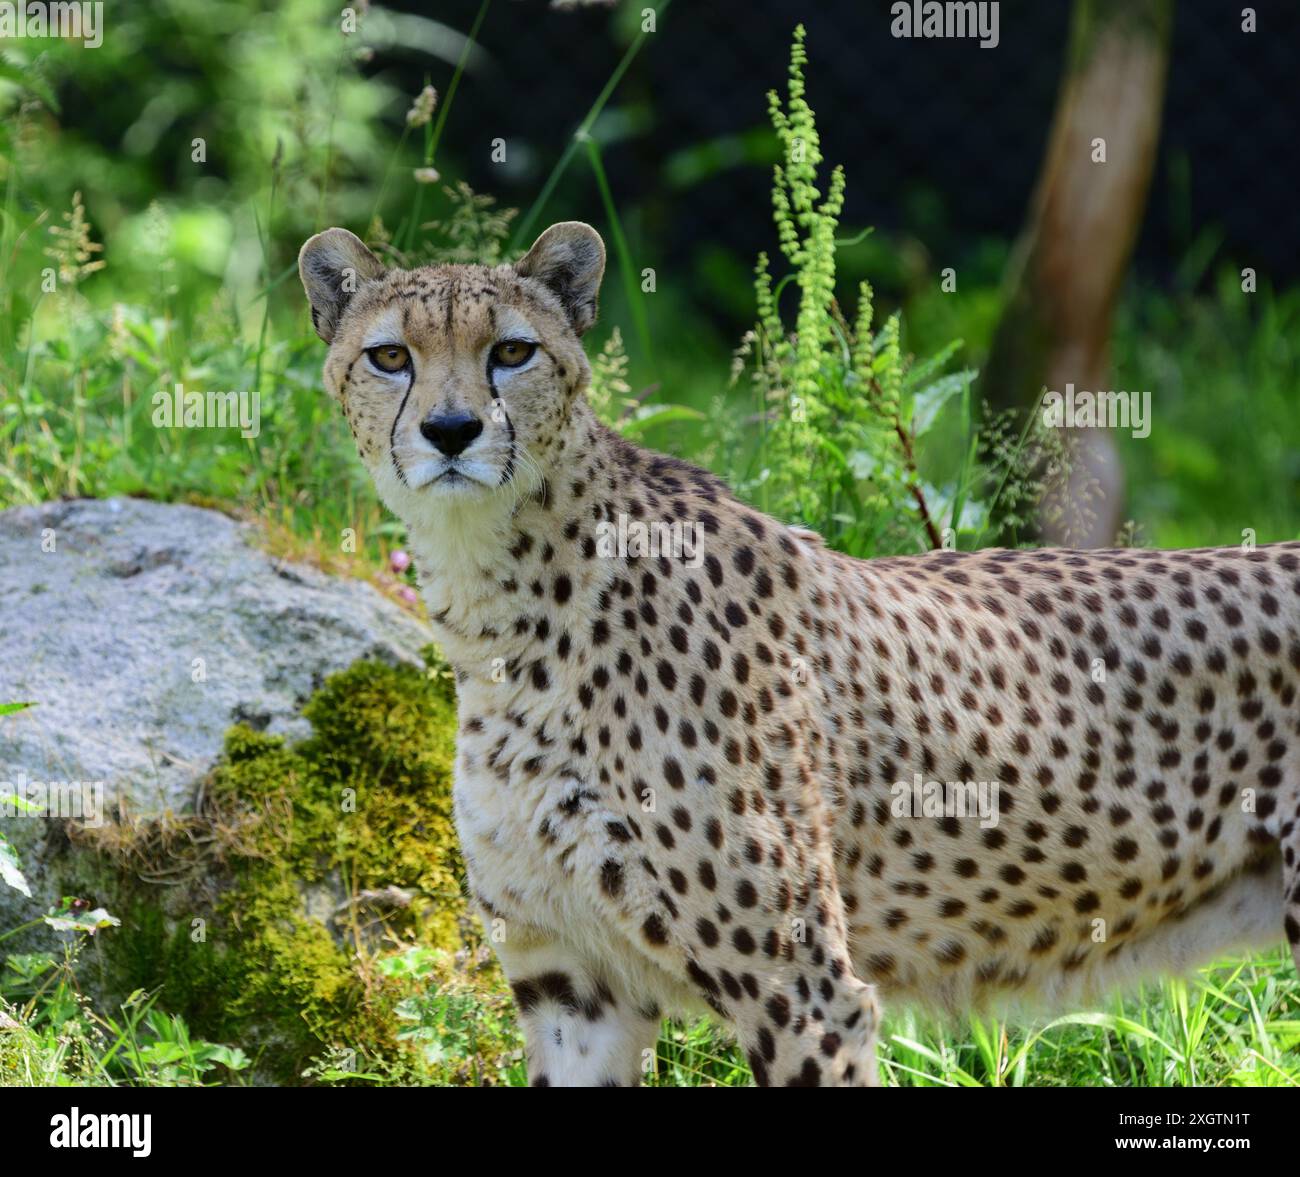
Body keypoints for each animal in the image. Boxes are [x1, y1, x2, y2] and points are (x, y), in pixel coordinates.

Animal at [300, 220, 1300, 1087]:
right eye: (391, 356)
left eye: (511, 352)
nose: (452, 430)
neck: (501, 608)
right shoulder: (573, 984)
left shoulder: (802, 990)